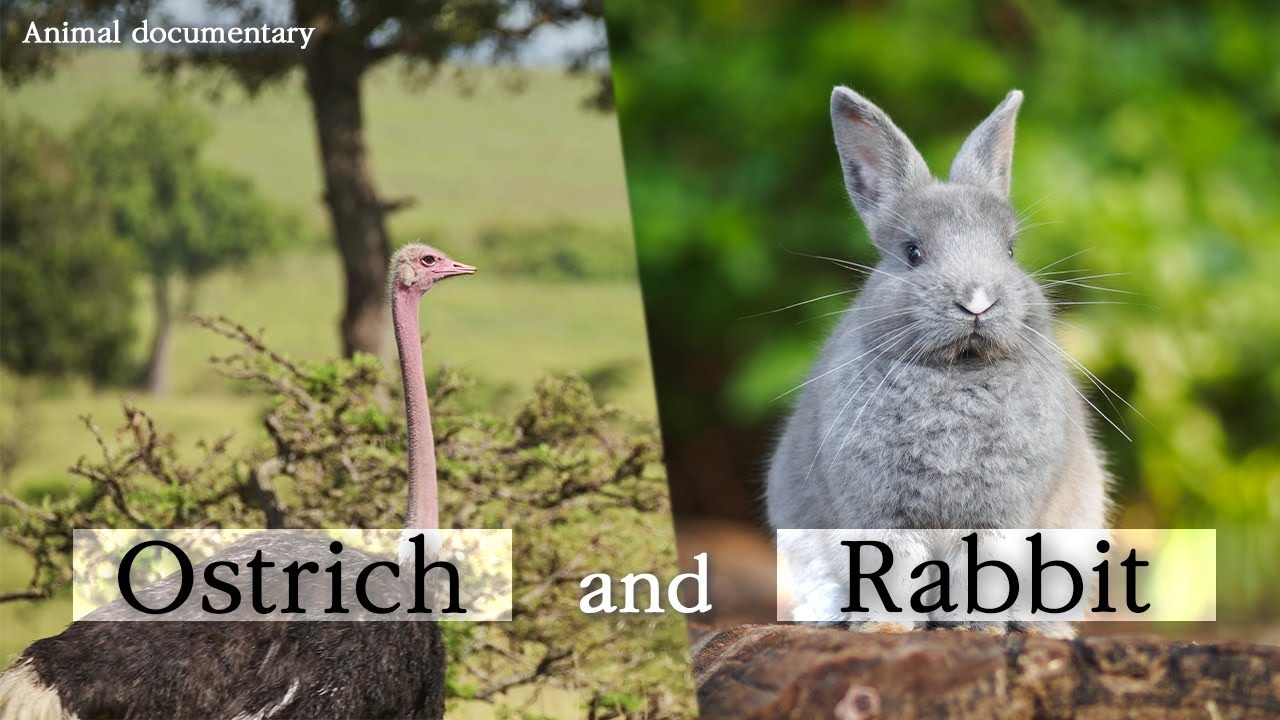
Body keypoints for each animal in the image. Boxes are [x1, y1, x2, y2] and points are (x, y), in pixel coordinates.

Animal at [765, 87, 1110, 637]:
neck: (957, 372)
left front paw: (975, 629)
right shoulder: (881, 515)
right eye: (913, 252)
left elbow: (984, 576)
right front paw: (884, 630)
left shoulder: (999, 517)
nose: (977, 301)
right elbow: (894, 575)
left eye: (1010, 251)